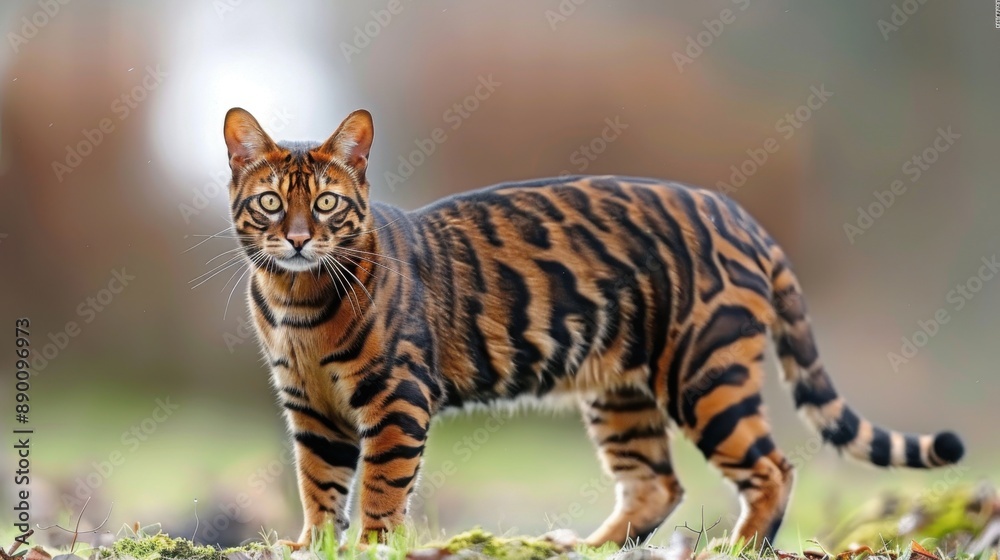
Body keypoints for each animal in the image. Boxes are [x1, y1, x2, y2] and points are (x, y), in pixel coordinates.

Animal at [220, 107, 964, 550]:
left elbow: (380, 482)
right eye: (270, 202)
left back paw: (738, 546)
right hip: (622, 393)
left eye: (325, 204)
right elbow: (318, 483)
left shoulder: (396, 395)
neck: (294, 297)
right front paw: (312, 544)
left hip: (705, 374)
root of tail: (742, 217)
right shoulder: (311, 406)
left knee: (771, 467)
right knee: (657, 483)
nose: (296, 239)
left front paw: (374, 545)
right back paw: (586, 545)